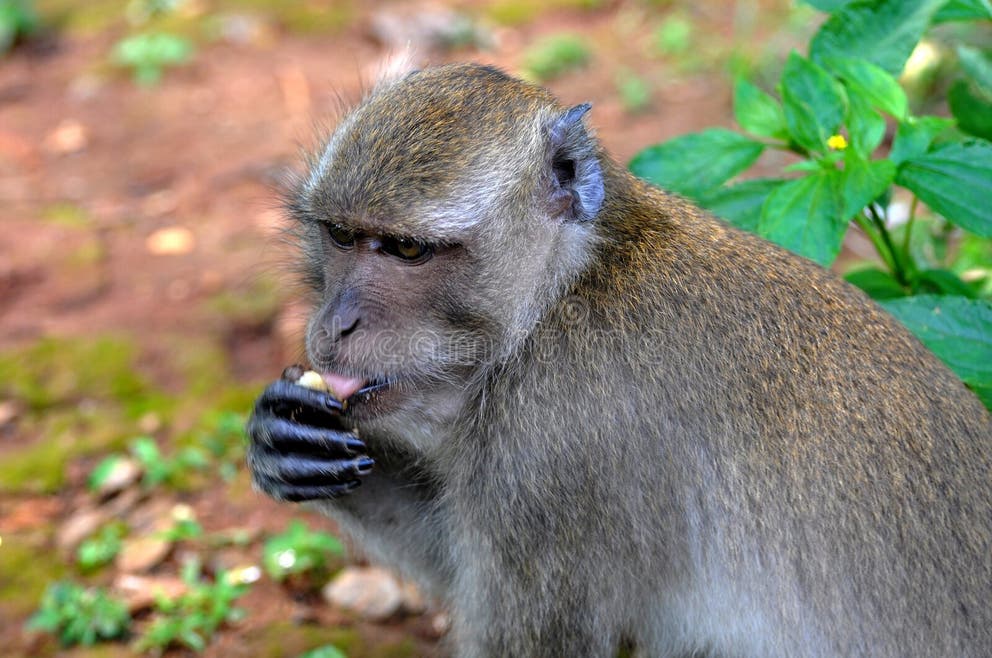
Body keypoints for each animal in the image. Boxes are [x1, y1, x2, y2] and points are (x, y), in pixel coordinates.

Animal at [246, 63, 992, 657]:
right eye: (341, 236)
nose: (336, 323)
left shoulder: (555, 445)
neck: (565, 291)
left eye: (406, 250)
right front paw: (283, 436)